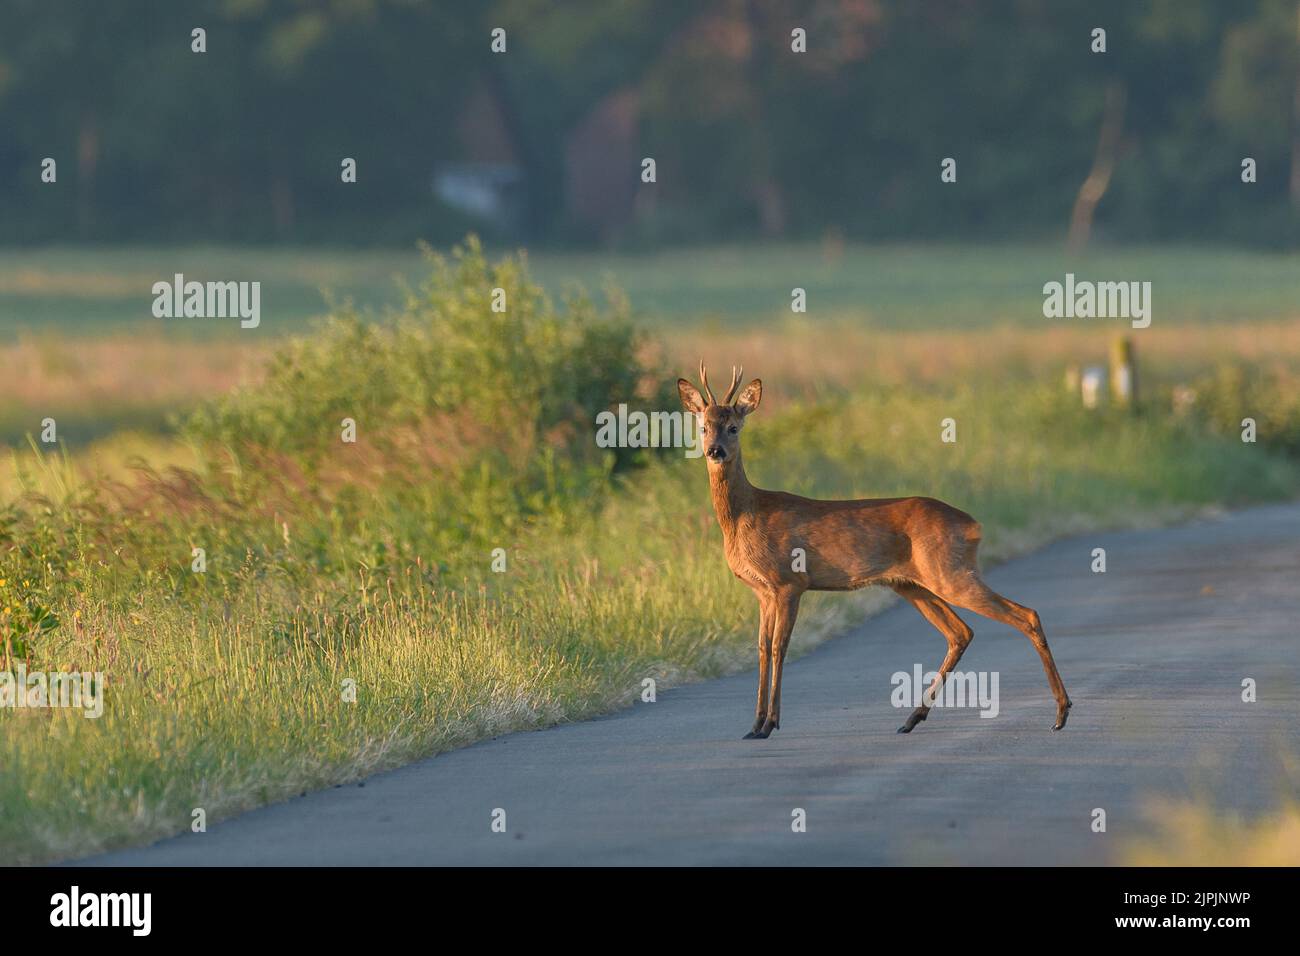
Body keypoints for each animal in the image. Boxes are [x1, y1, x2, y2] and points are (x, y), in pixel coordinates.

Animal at [678, 362, 1071, 740]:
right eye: (703, 426)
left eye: (733, 427)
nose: (715, 451)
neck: (746, 514)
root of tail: (973, 524)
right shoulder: (762, 591)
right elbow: (761, 649)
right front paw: (754, 724)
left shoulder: (789, 582)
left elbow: (779, 648)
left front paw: (769, 724)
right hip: (912, 584)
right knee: (960, 632)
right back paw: (912, 719)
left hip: (951, 573)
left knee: (1025, 615)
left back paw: (1060, 713)